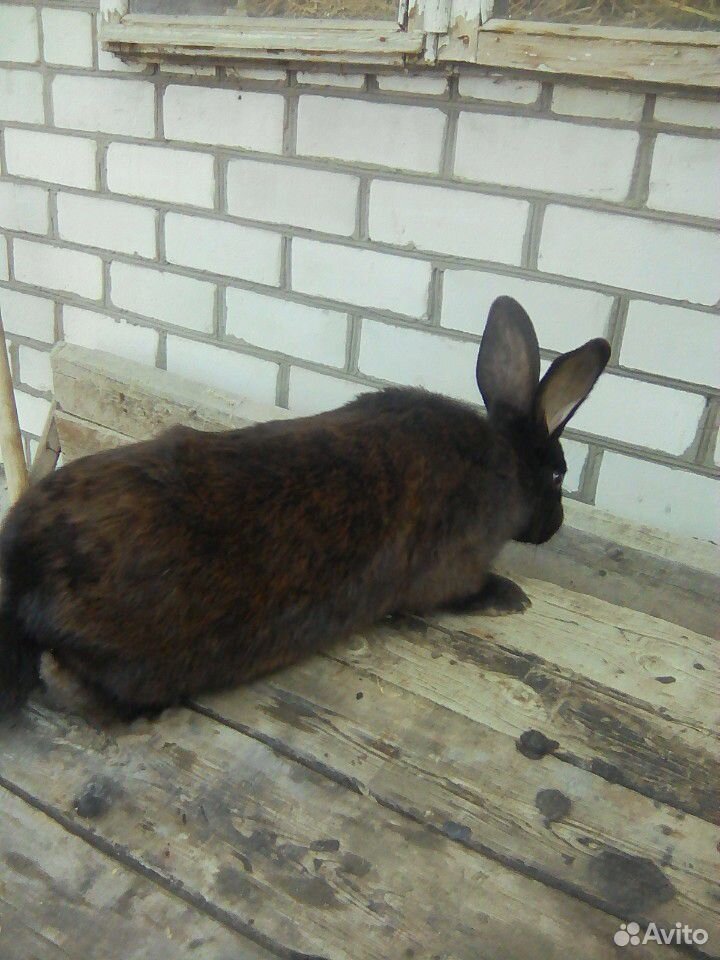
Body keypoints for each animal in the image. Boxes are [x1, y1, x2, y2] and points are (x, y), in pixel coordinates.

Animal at [0, 296, 610, 720]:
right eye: (557, 473)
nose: (556, 525)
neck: (501, 464)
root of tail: (21, 564)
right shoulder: (451, 573)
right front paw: (512, 597)